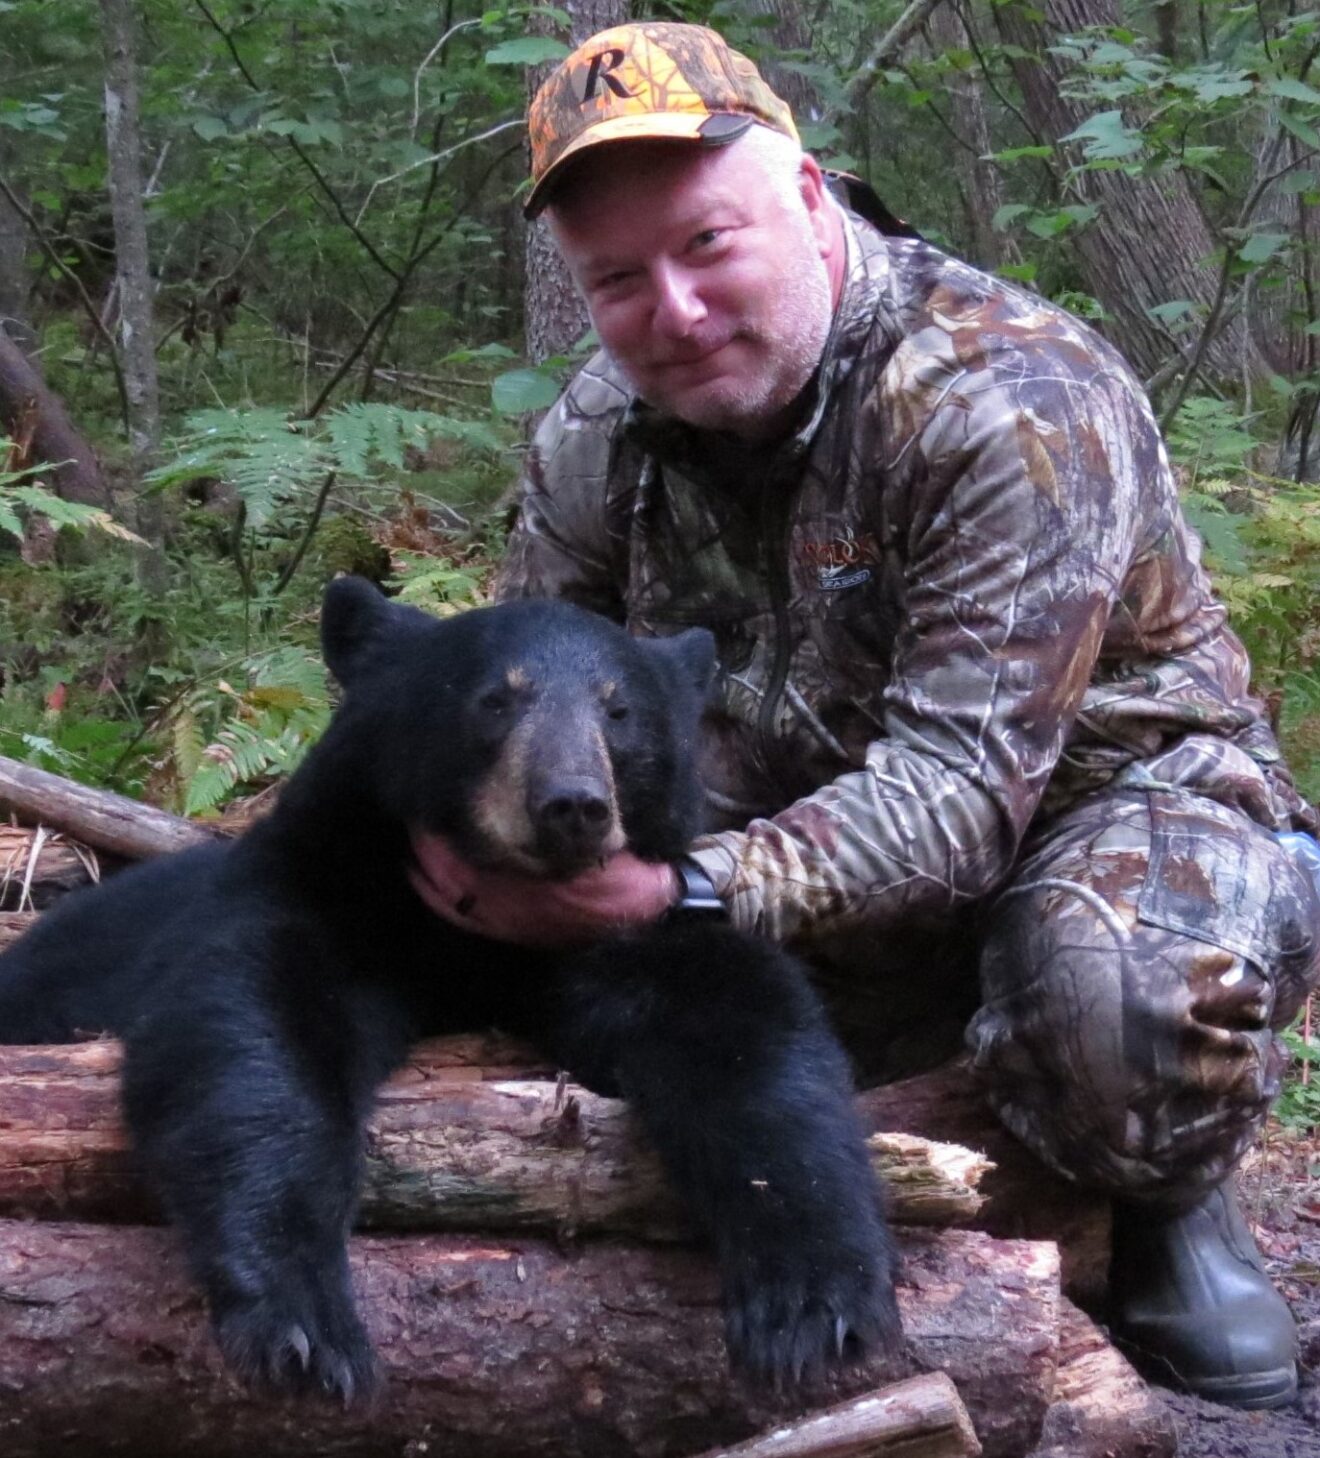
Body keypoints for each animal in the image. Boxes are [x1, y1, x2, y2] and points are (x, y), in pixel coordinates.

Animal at [0, 576, 899, 1400]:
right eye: (495, 700)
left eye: (618, 712)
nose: (572, 804)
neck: (483, 943)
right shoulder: (322, 894)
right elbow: (252, 1033)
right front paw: (302, 1318)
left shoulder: (619, 937)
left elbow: (745, 1037)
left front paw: (819, 1302)